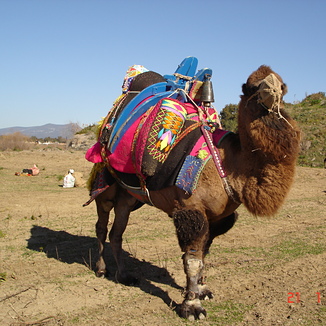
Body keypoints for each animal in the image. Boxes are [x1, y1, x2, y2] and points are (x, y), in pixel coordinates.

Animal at [89, 65, 300, 320]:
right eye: (250, 86)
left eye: (283, 85)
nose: (271, 90)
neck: (231, 166)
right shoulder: (191, 210)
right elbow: (192, 260)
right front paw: (192, 306)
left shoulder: (218, 217)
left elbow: (204, 254)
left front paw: (202, 290)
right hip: (105, 185)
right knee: (101, 225)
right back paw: (101, 269)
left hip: (129, 198)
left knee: (117, 231)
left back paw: (124, 276)